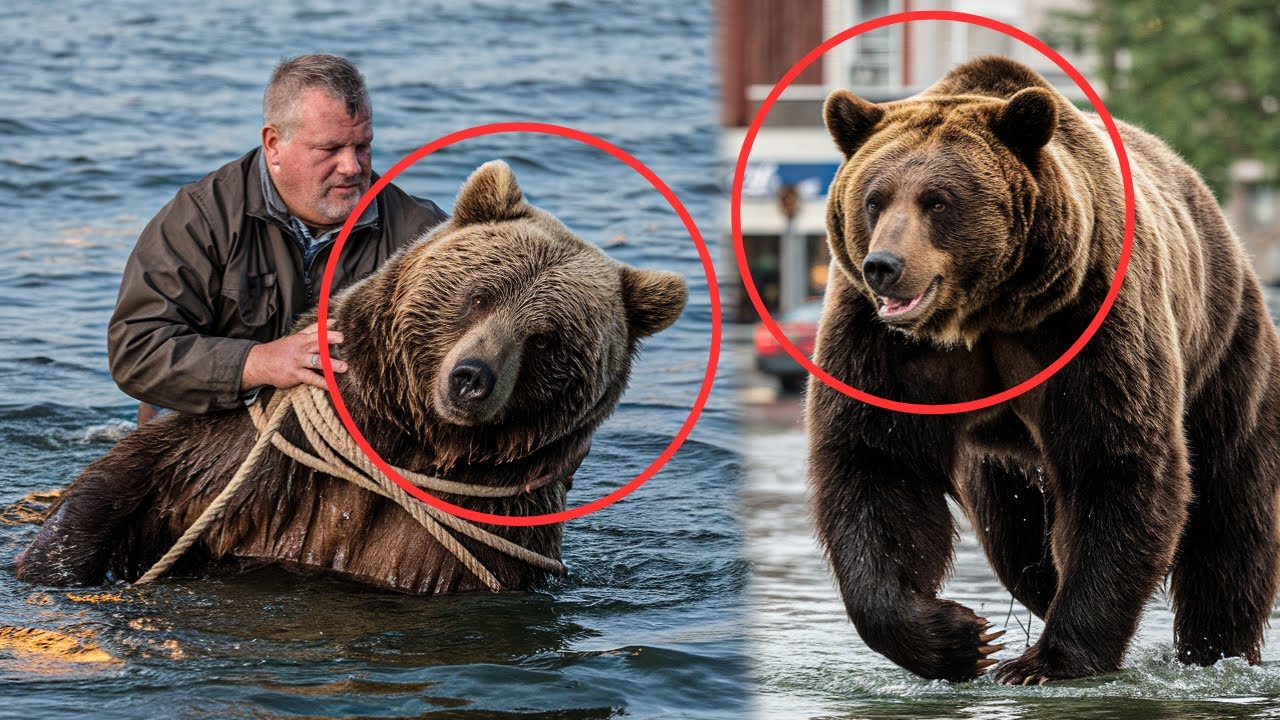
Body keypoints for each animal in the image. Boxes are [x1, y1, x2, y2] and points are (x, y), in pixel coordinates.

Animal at [15, 160, 688, 595]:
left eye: (545, 338)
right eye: (481, 296)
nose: (471, 378)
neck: (411, 439)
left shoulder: (479, 541)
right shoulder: (251, 464)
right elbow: (135, 478)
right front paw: (55, 565)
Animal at [807, 55, 1280, 684]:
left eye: (938, 200)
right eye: (874, 198)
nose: (883, 265)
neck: (982, 315)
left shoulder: (1086, 320)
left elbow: (1116, 461)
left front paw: (1044, 661)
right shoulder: (882, 346)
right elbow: (876, 464)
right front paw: (961, 637)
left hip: (1224, 351)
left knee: (1230, 520)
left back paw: (1216, 649)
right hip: (1001, 470)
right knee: (1020, 545)